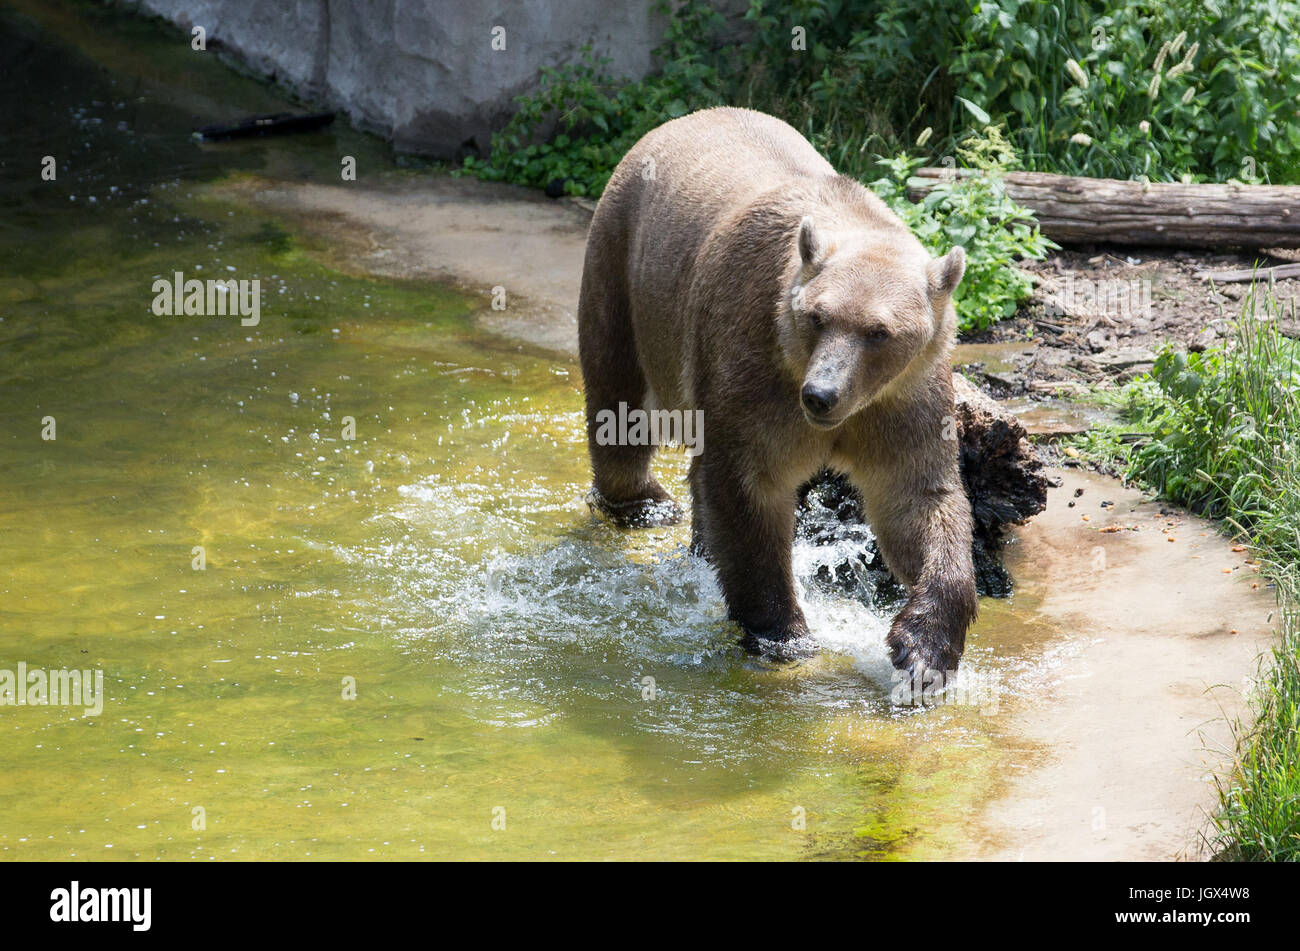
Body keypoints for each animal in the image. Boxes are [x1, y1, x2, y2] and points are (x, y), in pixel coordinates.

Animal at [576, 106, 977, 678]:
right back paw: (644, 501)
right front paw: (784, 632)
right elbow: (749, 488)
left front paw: (923, 648)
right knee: (619, 399)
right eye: (816, 317)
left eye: (880, 331)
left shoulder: (903, 398)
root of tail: (678, 121)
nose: (820, 395)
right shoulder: (754, 368)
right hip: (626, 266)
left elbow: (916, 498)